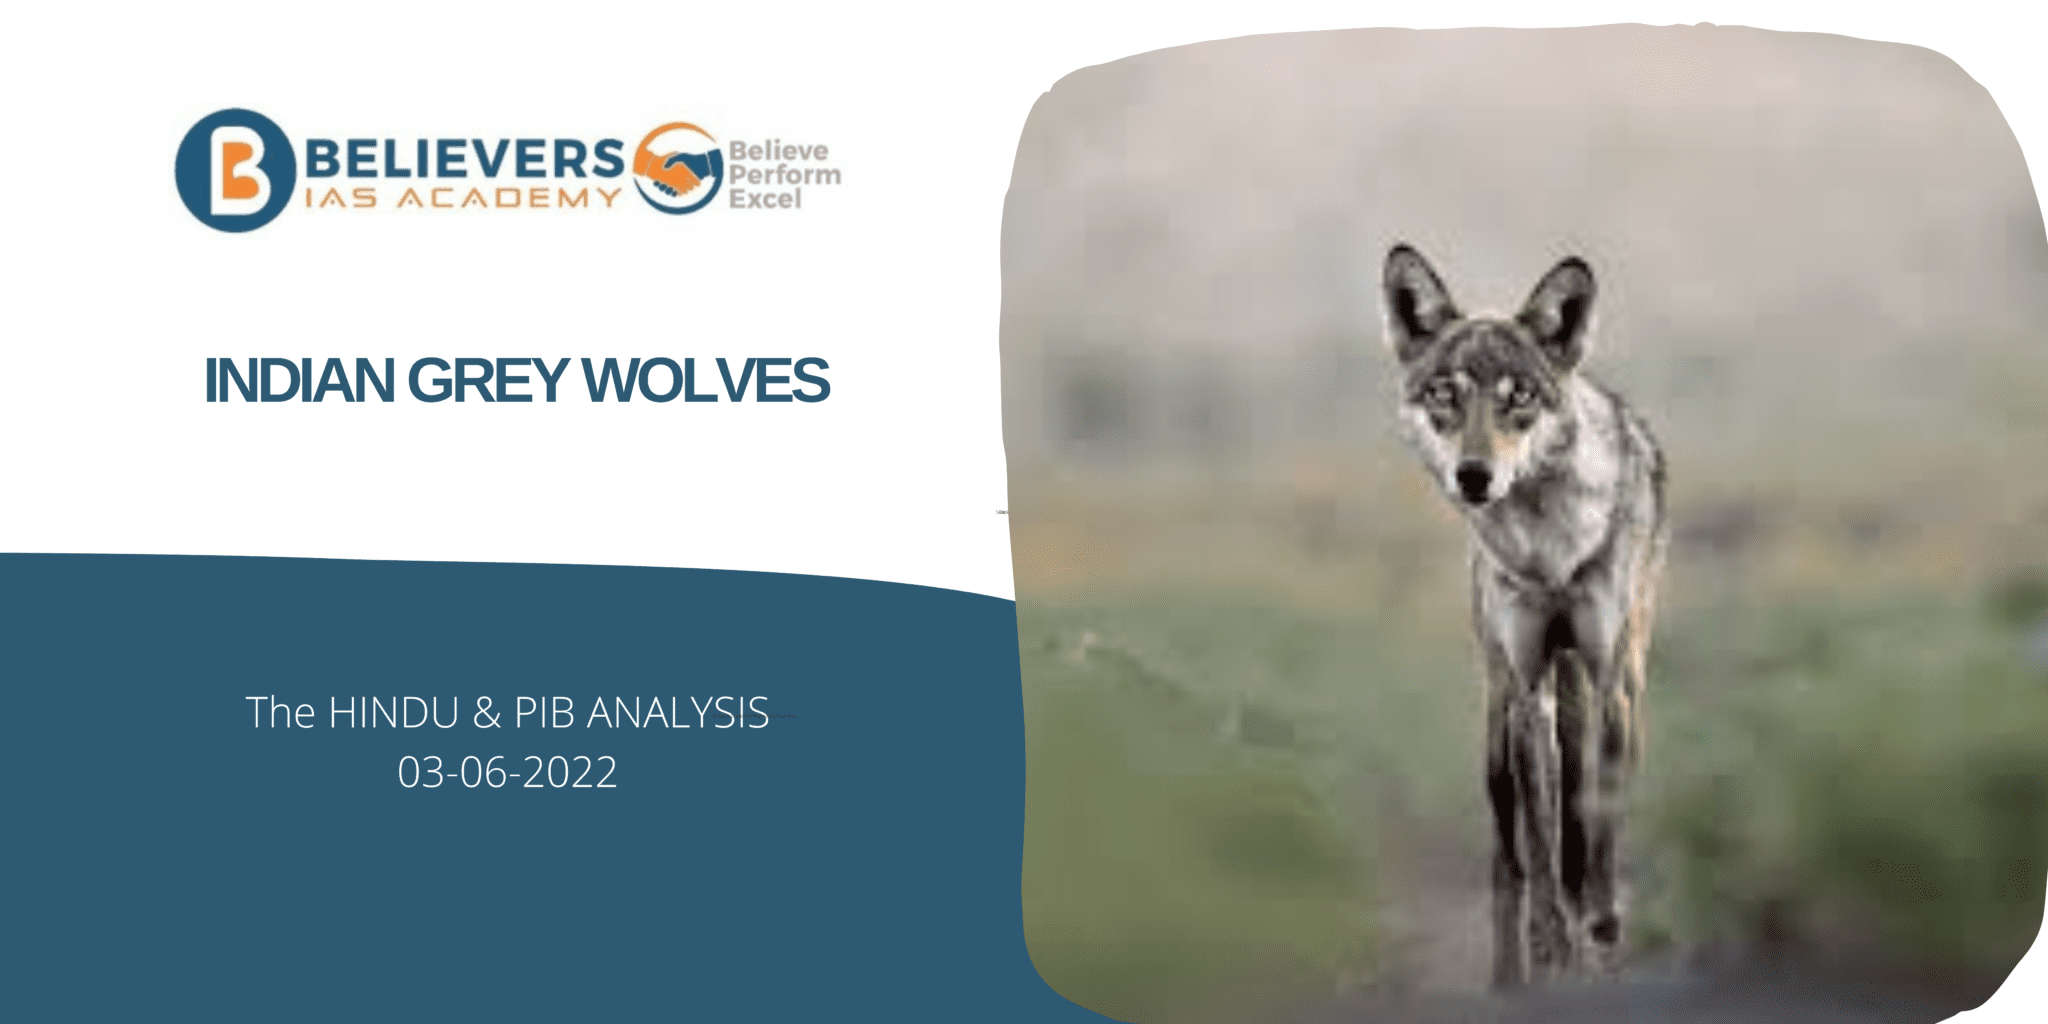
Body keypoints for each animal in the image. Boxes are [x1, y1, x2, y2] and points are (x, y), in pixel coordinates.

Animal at [1381, 244, 1669, 990]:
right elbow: (1539, 848)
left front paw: (1600, 941)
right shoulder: (1528, 686)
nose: (1474, 476)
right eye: (1445, 394)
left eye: (1519, 397)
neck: (1549, 549)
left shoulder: (1611, 685)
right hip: (1498, 713)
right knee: (1506, 860)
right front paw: (1550, 947)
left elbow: (1596, 843)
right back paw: (1512, 971)